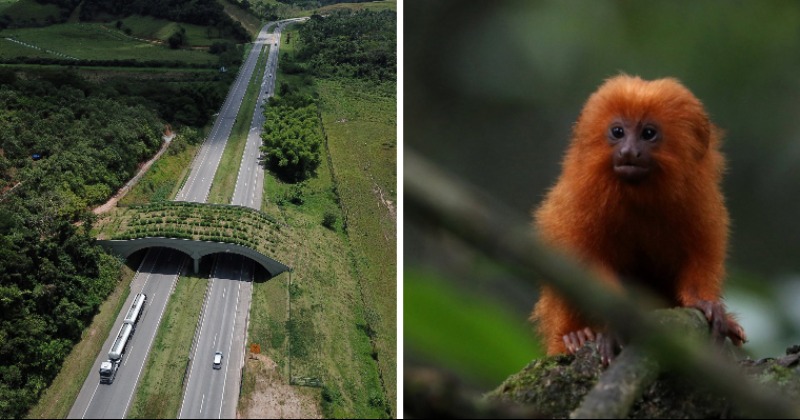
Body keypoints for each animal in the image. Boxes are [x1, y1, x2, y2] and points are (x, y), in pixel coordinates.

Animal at [531, 75, 747, 365]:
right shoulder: (578, 204)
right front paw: (608, 327)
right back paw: (574, 336)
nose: (629, 151)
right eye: (618, 132)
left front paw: (704, 303)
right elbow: (580, 261)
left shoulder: (701, 206)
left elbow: (701, 257)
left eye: (648, 134)